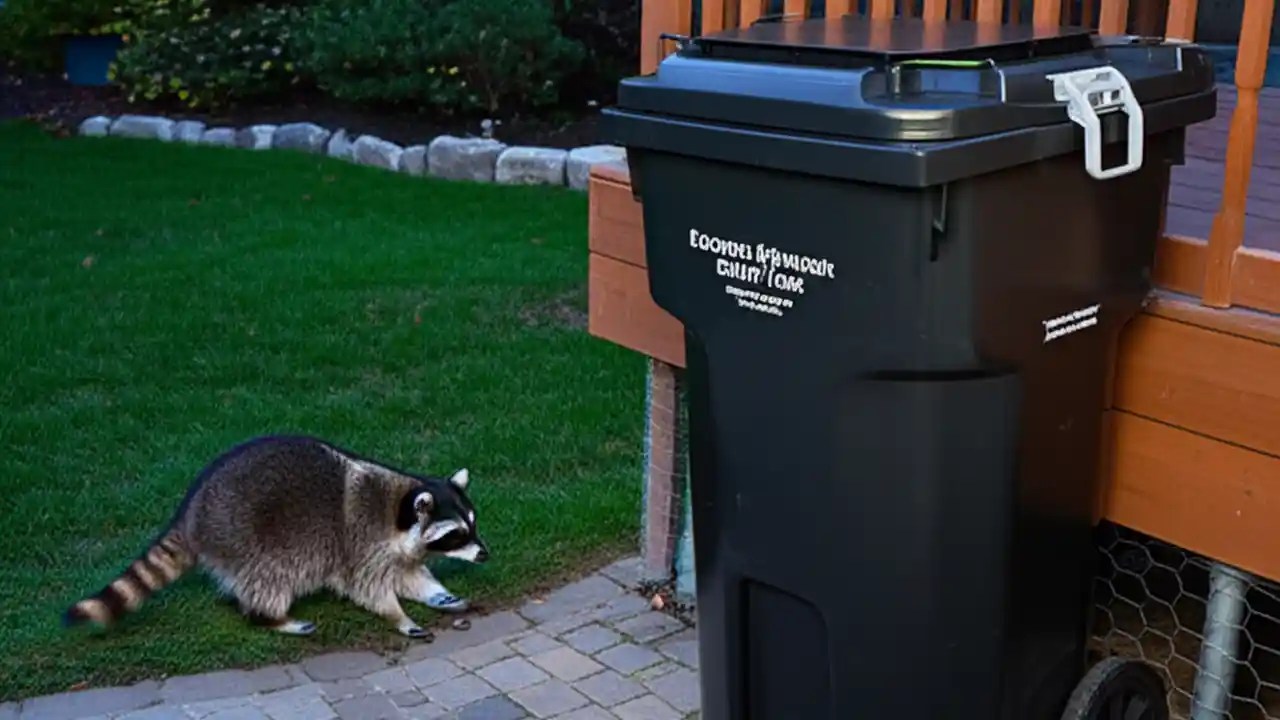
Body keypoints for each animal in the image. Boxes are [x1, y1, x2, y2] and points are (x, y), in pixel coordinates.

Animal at [63, 435, 489, 639]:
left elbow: (410, 574)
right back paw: (270, 617)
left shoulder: (398, 551)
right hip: (247, 539)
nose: (484, 555)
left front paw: (437, 593)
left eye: (472, 524)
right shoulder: (361, 543)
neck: (398, 509)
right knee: (271, 580)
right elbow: (368, 587)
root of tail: (191, 510)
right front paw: (397, 615)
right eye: (456, 534)